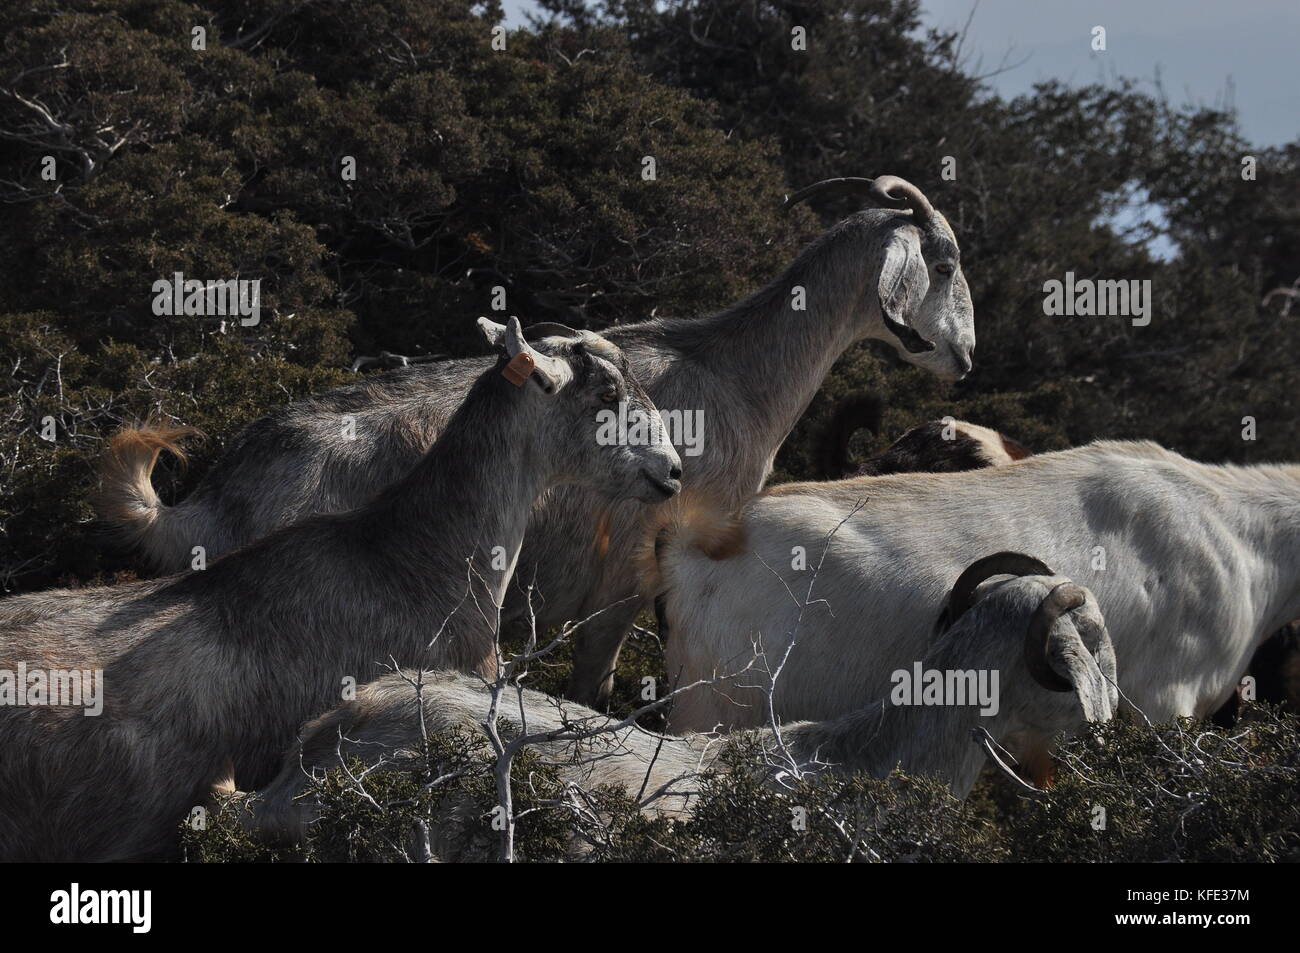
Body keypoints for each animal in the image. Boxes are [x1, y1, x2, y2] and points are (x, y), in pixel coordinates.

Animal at [96, 176, 976, 707]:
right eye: (944, 262)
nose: (966, 356)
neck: (738, 375)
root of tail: (213, 497)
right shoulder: (630, 573)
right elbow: (595, 684)